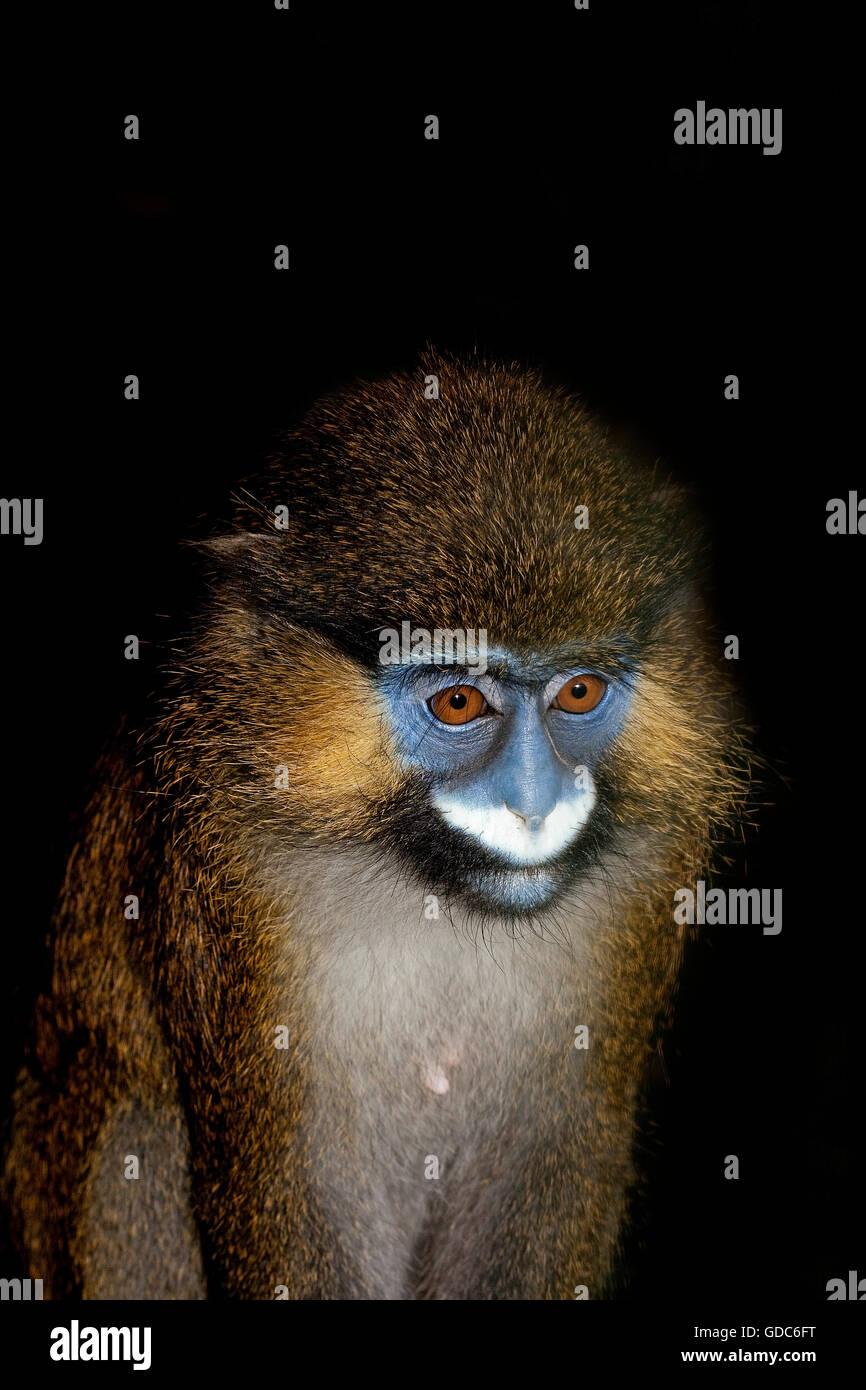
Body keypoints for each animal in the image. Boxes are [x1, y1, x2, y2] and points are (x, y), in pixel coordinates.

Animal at [3, 353, 756, 1295]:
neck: (423, 884)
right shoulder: (232, 875)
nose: (534, 803)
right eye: (459, 701)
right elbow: (291, 1186)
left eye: (579, 692)